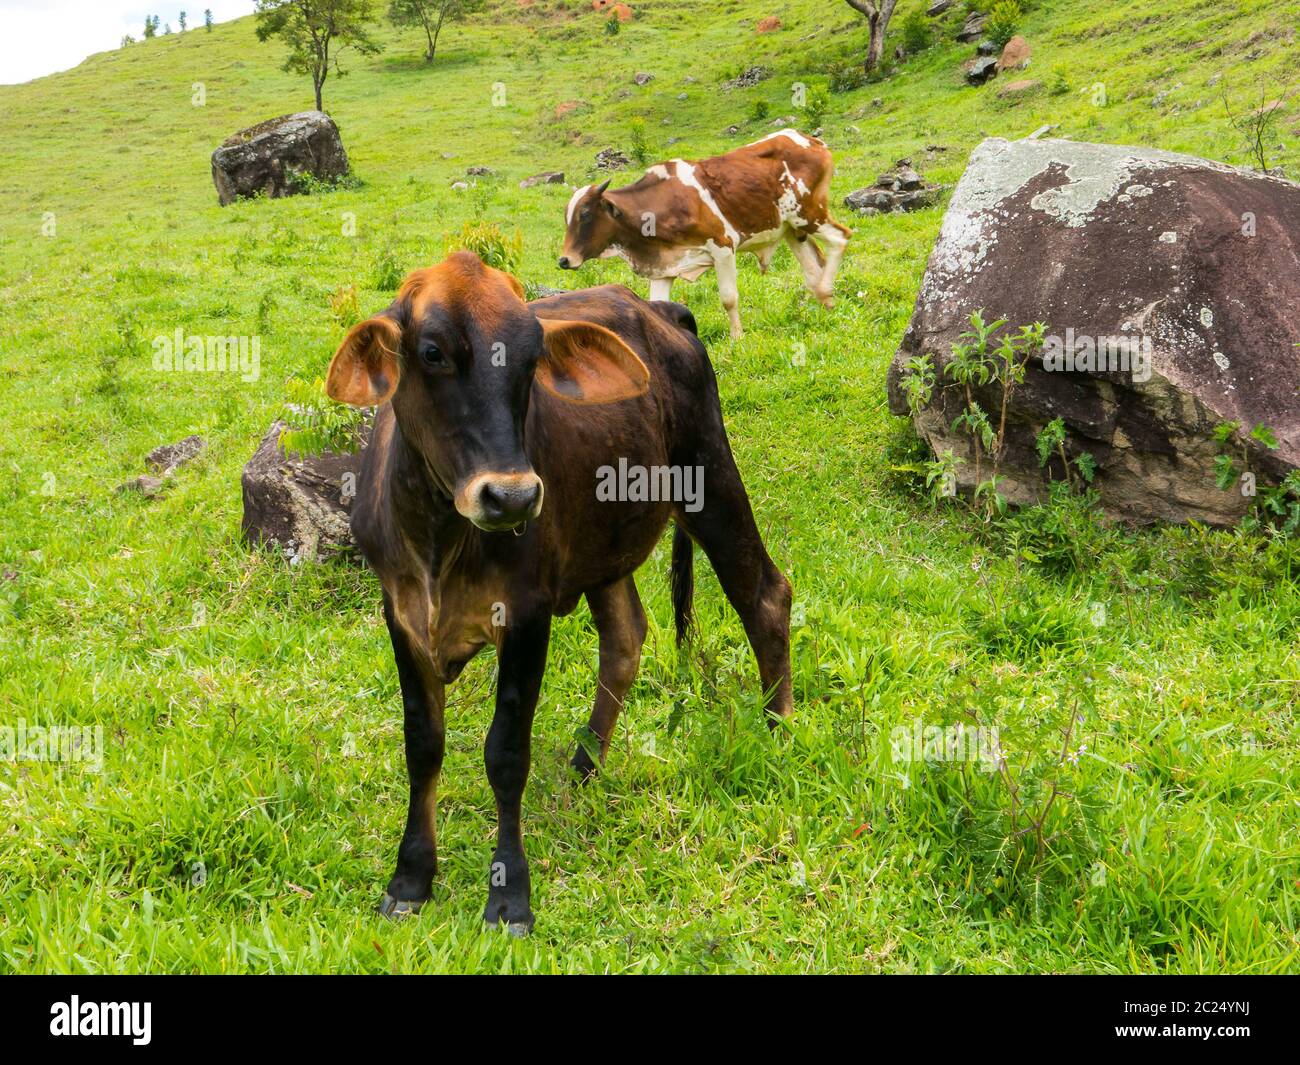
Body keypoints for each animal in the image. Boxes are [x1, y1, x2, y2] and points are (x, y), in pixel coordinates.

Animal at [325, 251, 793, 934]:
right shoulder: (401, 615)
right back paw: (583, 765)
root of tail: (663, 310)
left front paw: (509, 896)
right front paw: (411, 878)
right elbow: (423, 744)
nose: (513, 497)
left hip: (711, 477)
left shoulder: (526, 614)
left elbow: (505, 752)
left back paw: (778, 729)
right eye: (432, 352)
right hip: (608, 546)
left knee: (764, 596)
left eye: (532, 359)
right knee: (626, 638)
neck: (441, 537)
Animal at [558, 128, 851, 339]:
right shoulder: (664, 267)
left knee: (841, 238)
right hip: (792, 228)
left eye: (585, 214)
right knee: (812, 268)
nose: (564, 260)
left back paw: (826, 291)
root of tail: (812, 141)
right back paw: (825, 303)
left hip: (810, 215)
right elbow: (657, 305)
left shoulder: (723, 248)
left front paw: (737, 337)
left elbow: (729, 298)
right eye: (567, 216)